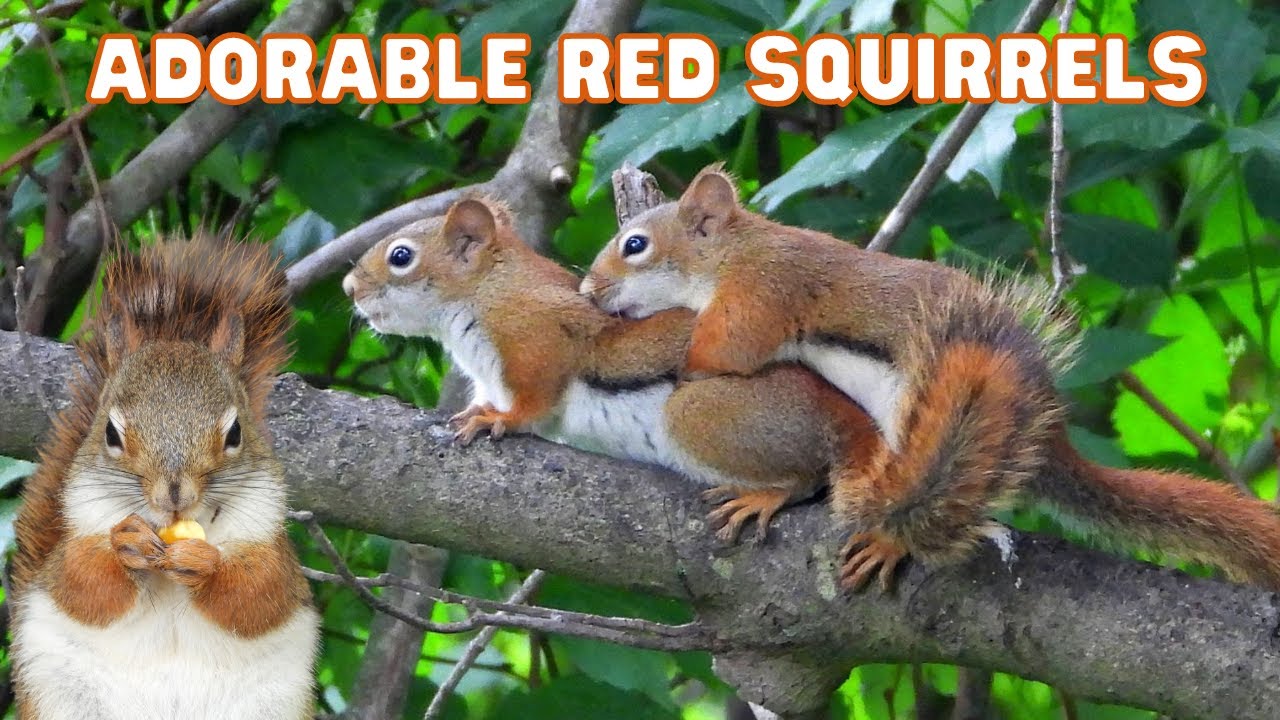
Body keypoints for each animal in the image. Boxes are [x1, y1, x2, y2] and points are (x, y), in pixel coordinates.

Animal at [11, 238, 320, 719]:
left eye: (235, 433)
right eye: (111, 434)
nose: (174, 494)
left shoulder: (271, 547)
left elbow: (257, 595)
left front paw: (204, 564)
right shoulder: (74, 542)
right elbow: (84, 584)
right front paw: (126, 544)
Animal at [342, 197, 886, 544]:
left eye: (401, 256)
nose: (349, 288)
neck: (486, 292)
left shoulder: (535, 335)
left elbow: (534, 399)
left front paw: (498, 418)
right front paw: (479, 408)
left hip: (709, 415)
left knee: (803, 477)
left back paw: (766, 496)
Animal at [579, 164, 1280, 593]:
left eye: (635, 245)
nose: (589, 290)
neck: (732, 252)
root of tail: (1048, 434)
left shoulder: (762, 294)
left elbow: (717, 354)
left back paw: (890, 541)